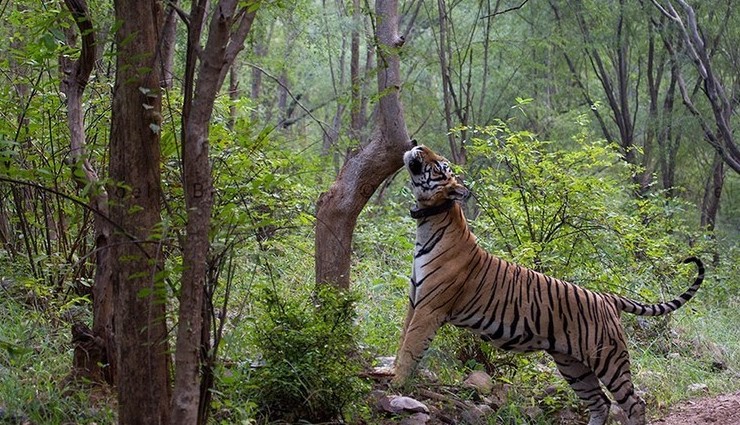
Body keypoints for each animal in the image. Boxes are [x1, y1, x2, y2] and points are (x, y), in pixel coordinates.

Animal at [393, 143, 704, 425]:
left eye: (440, 165)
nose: (417, 144)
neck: (429, 220)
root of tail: (607, 297)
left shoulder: (429, 308)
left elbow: (410, 348)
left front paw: (396, 384)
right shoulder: (414, 302)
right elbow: (402, 341)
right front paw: (391, 374)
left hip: (608, 359)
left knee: (634, 402)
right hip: (572, 364)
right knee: (600, 403)